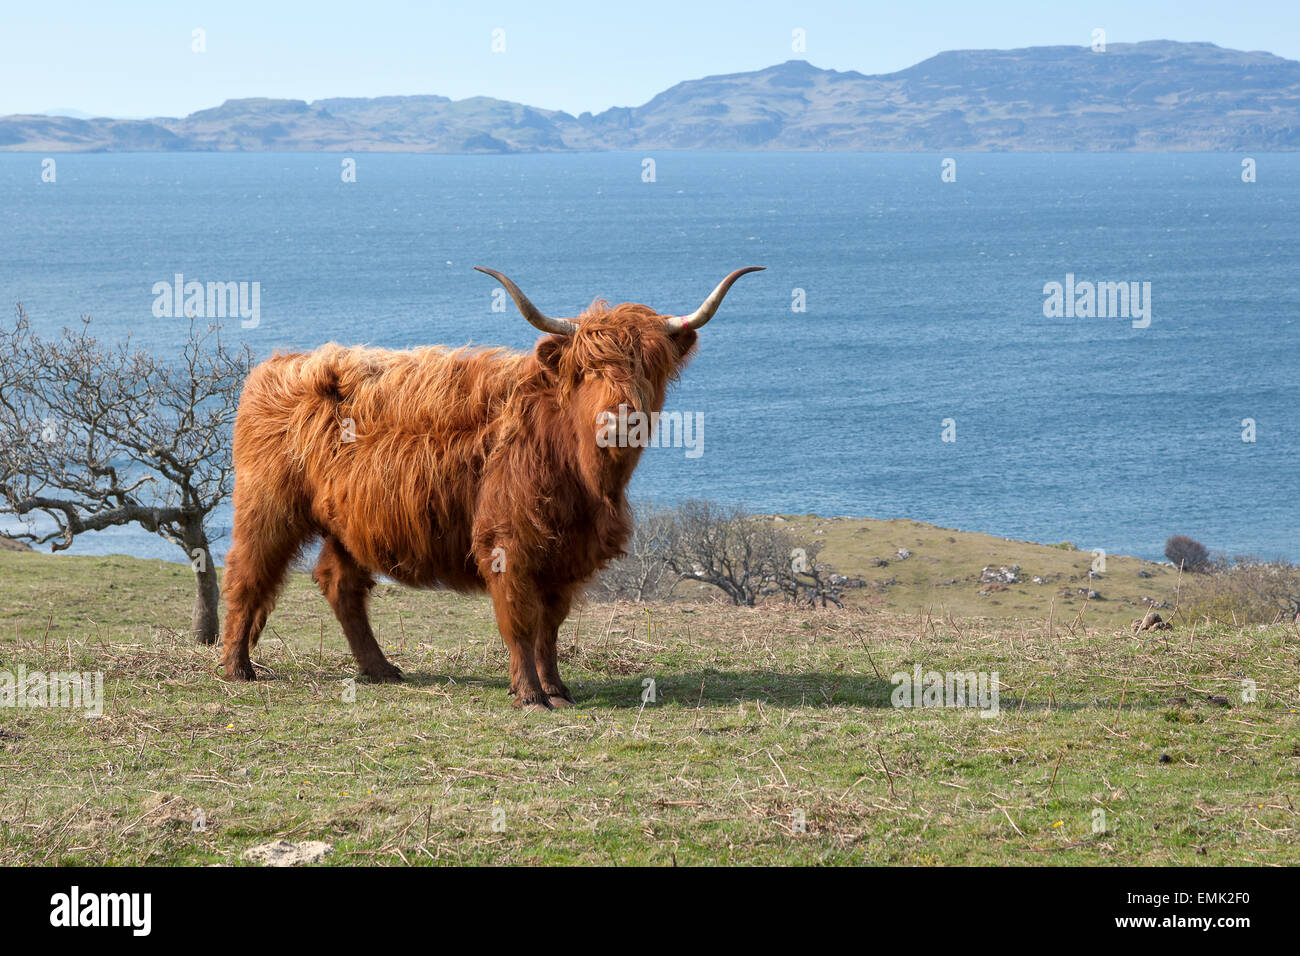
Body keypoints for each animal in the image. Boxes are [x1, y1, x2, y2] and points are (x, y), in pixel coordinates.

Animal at [219, 266, 763, 710]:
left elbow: (550, 628)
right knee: (248, 574)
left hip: (348, 524)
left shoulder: (566, 556)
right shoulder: (509, 543)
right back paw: (237, 668)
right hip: (267, 507)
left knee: (340, 584)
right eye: (587, 370)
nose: (620, 420)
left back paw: (380, 669)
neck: (584, 475)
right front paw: (529, 695)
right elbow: (520, 621)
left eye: (647, 367)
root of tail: (279, 364)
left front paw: (558, 690)